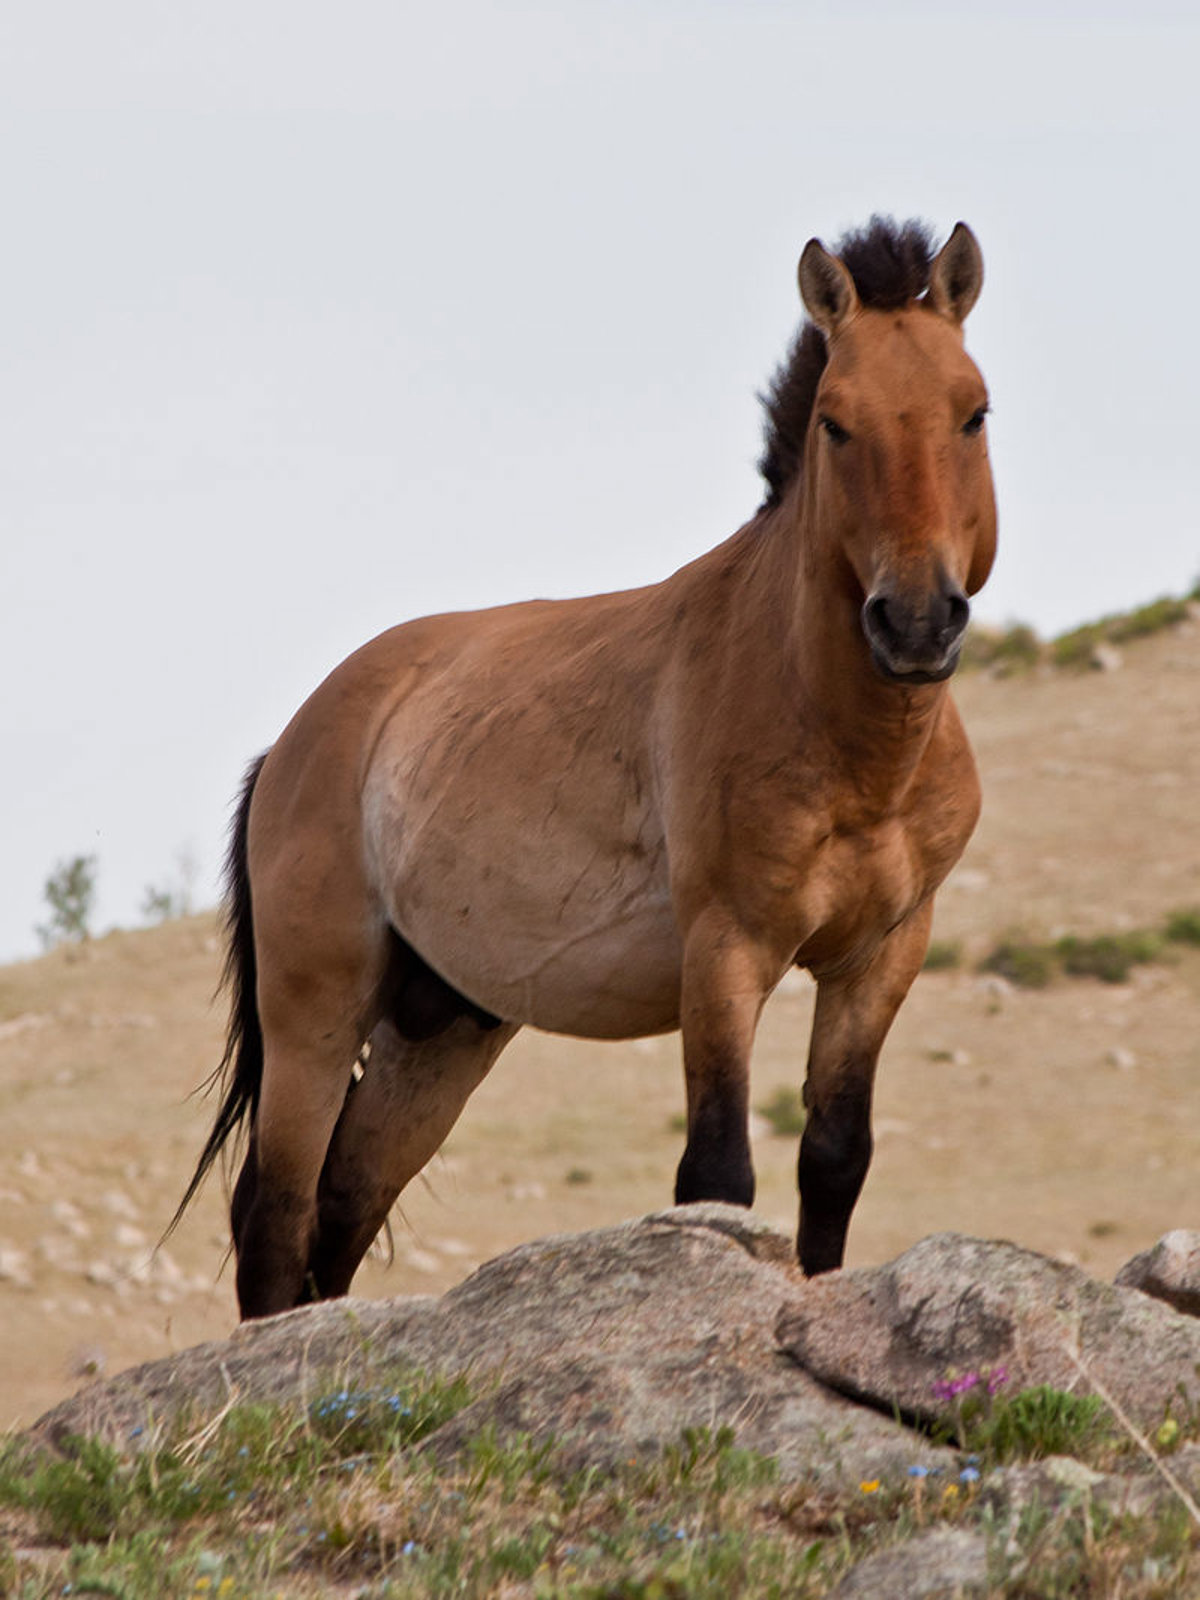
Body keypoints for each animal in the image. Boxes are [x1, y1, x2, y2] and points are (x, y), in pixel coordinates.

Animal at [177, 215, 997, 1320]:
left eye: (972, 414)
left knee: (343, 1205)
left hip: (440, 1031)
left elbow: (833, 1161)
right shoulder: (726, 948)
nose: (914, 621)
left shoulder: (882, 955)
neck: (844, 741)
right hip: (317, 1007)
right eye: (836, 424)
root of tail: (297, 740)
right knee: (276, 1214)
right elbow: (717, 1176)